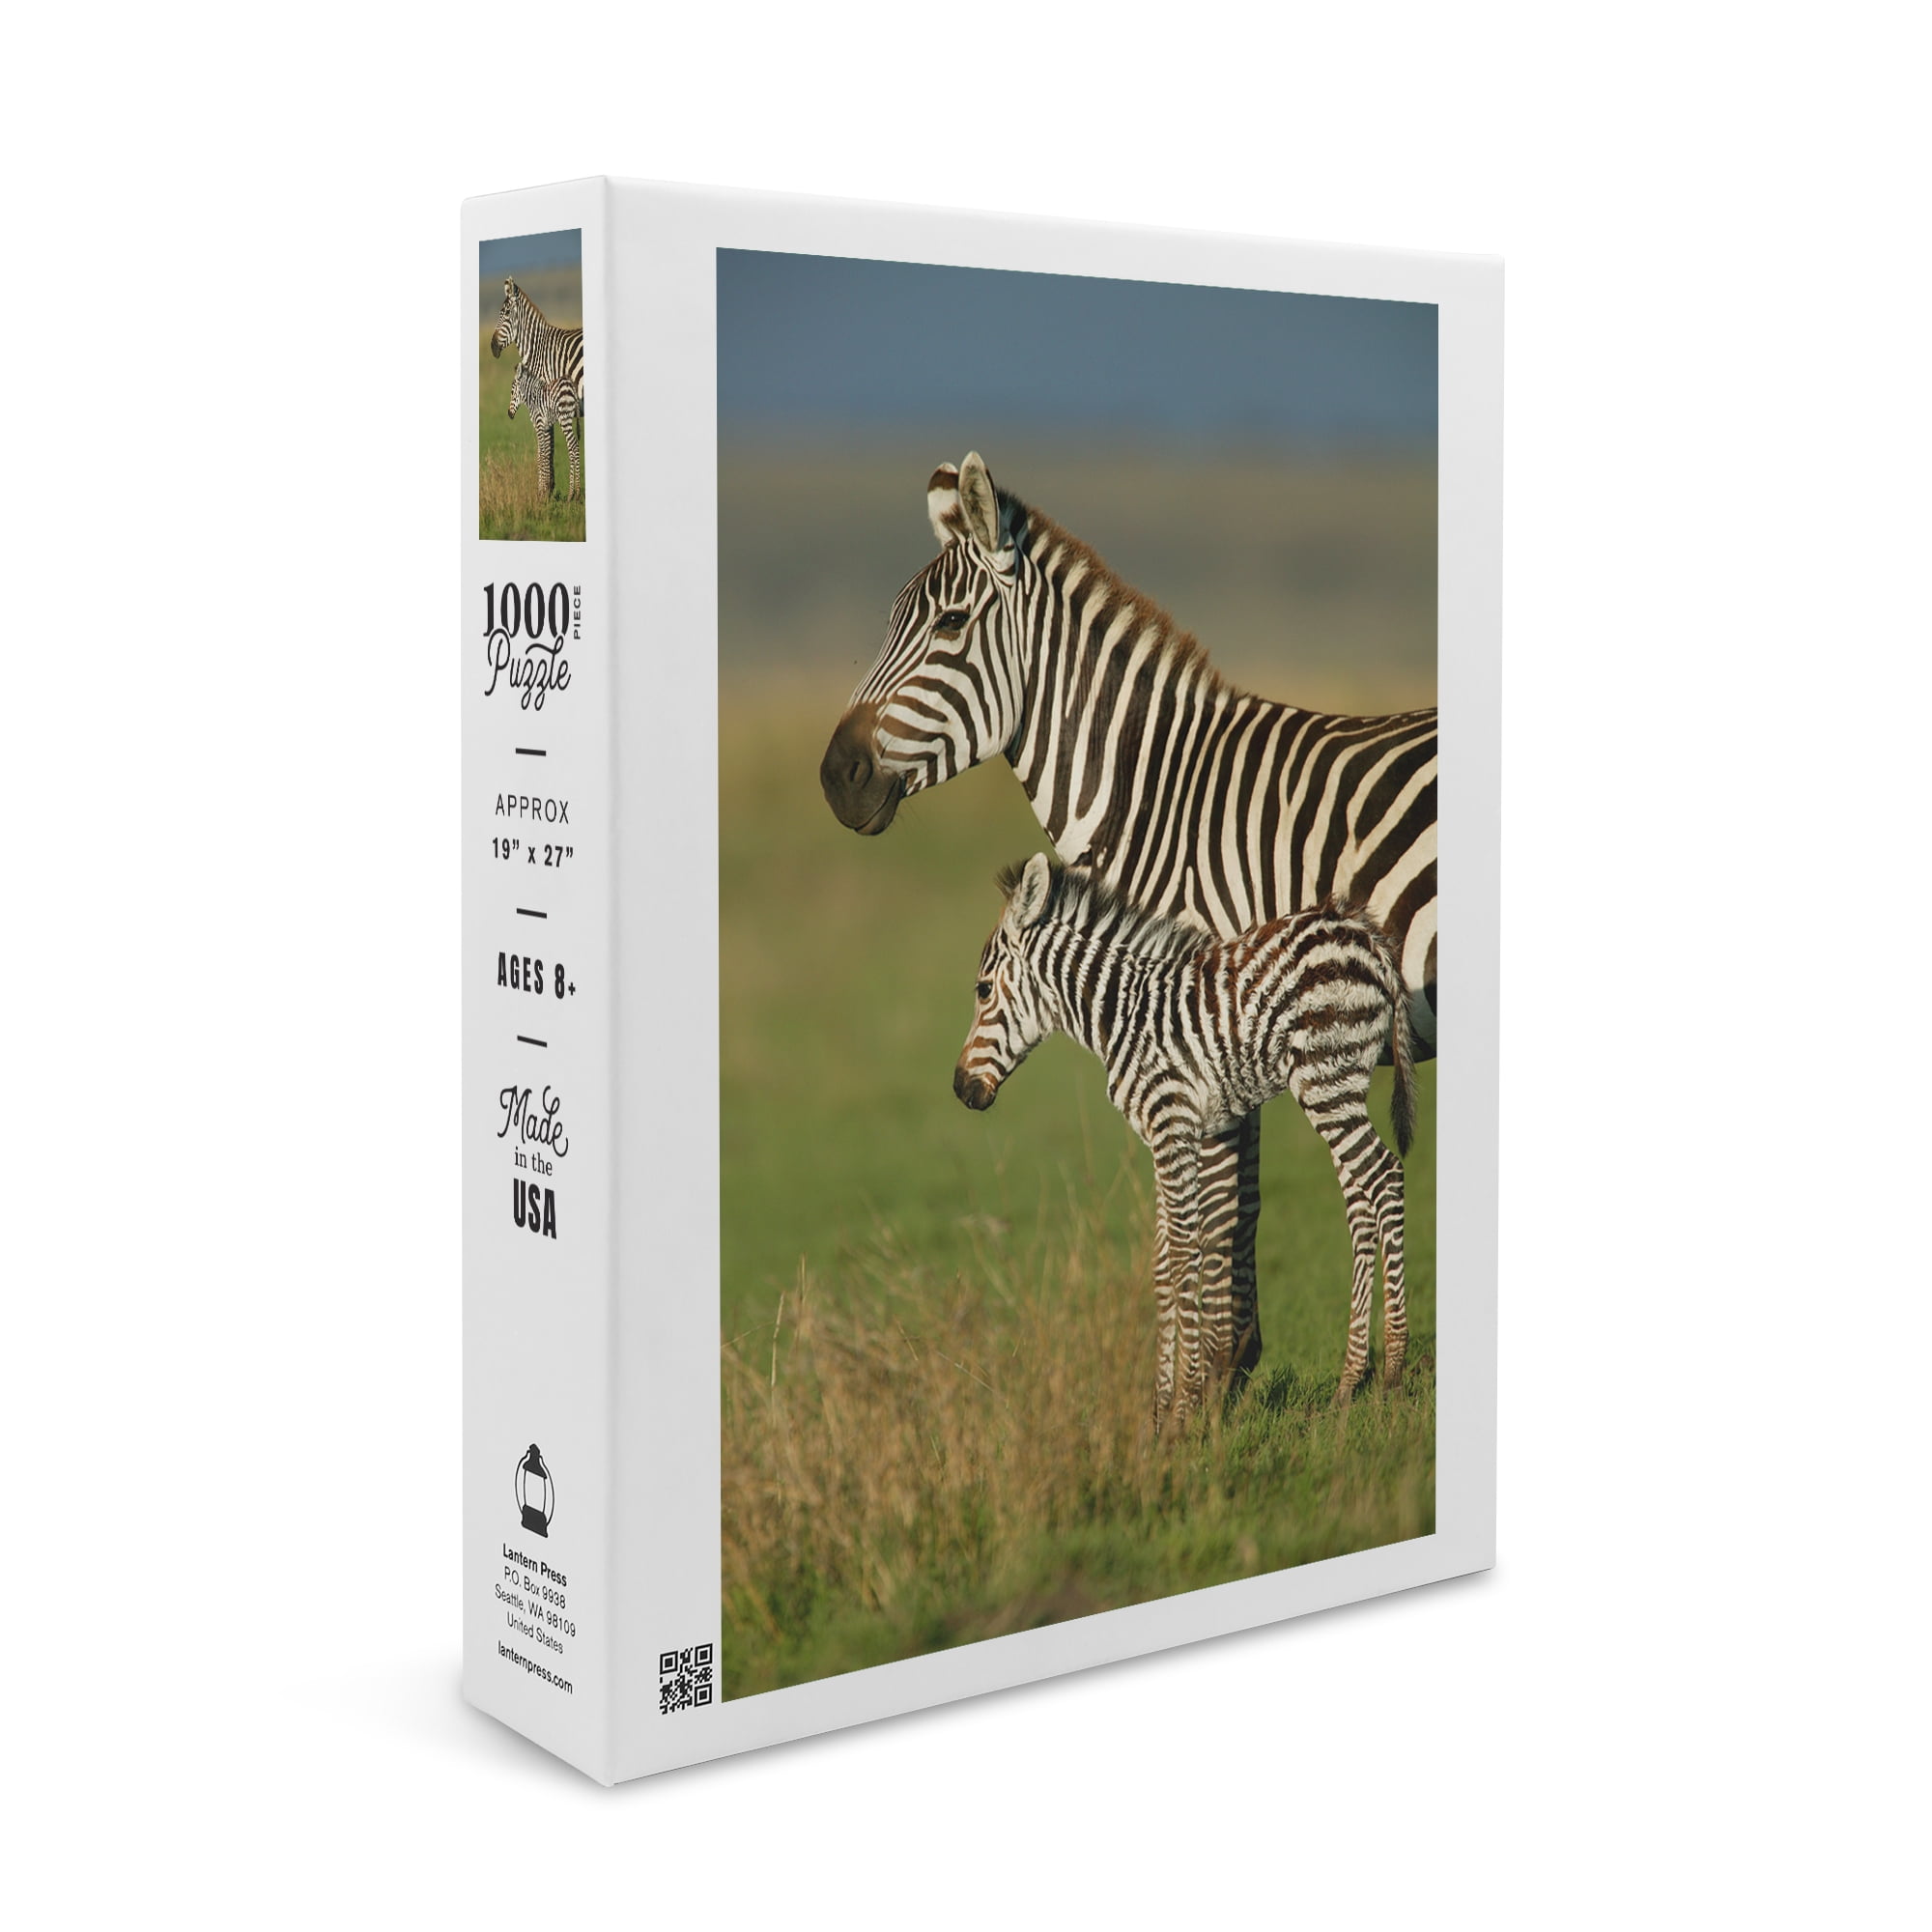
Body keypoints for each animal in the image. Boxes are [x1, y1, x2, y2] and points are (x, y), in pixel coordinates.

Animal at [506, 357, 582, 502]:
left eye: (512, 392)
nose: (509, 414)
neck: (534, 398)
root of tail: (570, 384)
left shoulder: (540, 426)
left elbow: (542, 455)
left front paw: (542, 493)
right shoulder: (546, 427)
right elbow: (545, 454)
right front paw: (545, 491)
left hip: (564, 418)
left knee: (573, 446)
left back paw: (573, 494)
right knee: (573, 447)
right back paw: (576, 494)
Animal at [955, 852, 1414, 1421]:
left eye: (982, 990)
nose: (960, 1089)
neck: (1122, 1016)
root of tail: (1366, 937)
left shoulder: (1172, 1125)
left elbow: (1181, 1256)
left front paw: (1185, 1407)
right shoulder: (1165, 1136)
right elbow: (1161, 1264)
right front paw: (1162, 1408)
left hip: (1325, 1079)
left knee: (1385, 1177)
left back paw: (1392, 1370)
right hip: (1340, 1088)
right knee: (1360, 1197)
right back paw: (1351, 1381)